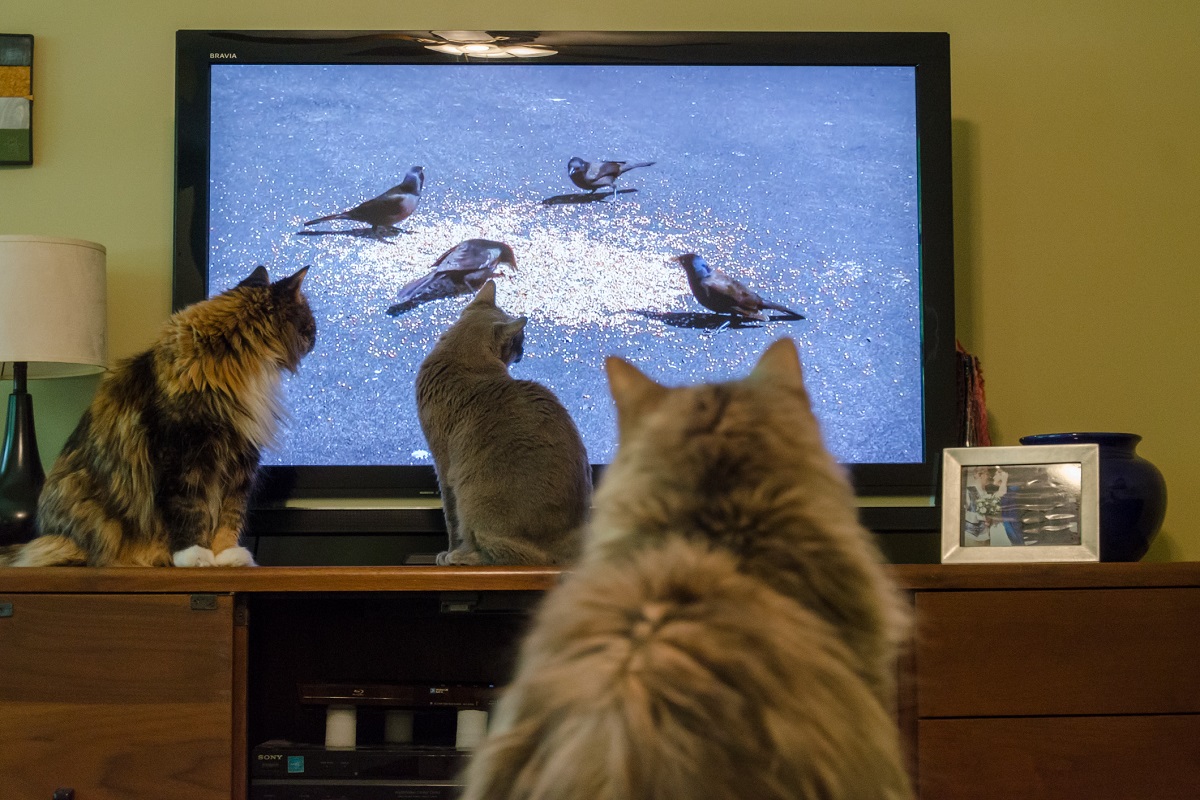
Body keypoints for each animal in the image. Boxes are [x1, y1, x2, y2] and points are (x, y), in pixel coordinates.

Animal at [0, 267, 316, 568]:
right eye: (310, 322)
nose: (316, 337)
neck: (230, 362)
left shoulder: (240, 462)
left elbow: (230, 516)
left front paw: (227, 555)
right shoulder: (180, 455)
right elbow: (188, 510)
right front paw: (193, 555)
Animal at [415, 278, 592, 566]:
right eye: (519, 340)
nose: (522, 351)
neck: (462, 355)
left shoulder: (443, 463)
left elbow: (449, 518)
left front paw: (448, 551)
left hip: (471, 496)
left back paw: (459, 556)